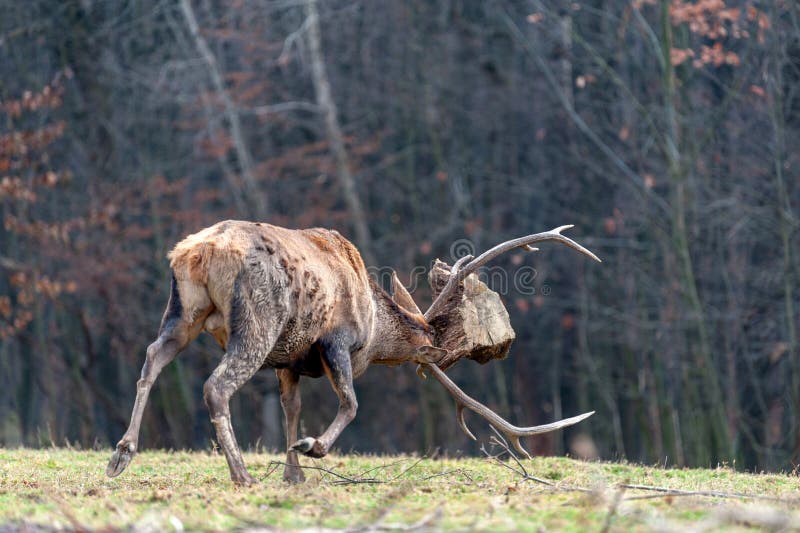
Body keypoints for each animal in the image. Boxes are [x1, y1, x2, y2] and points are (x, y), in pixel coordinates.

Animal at [106, 220, 600, 485]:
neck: (374, 322)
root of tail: (197, 253)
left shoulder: (289, 359)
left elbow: (291, 407)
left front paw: (293, 473)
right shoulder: (336, 342)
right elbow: (351, 403)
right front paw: (312, 449)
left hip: (183, 311)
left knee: (152, 356)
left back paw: (122, 454)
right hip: (257, 321)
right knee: (215, 385)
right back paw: (241, 473)